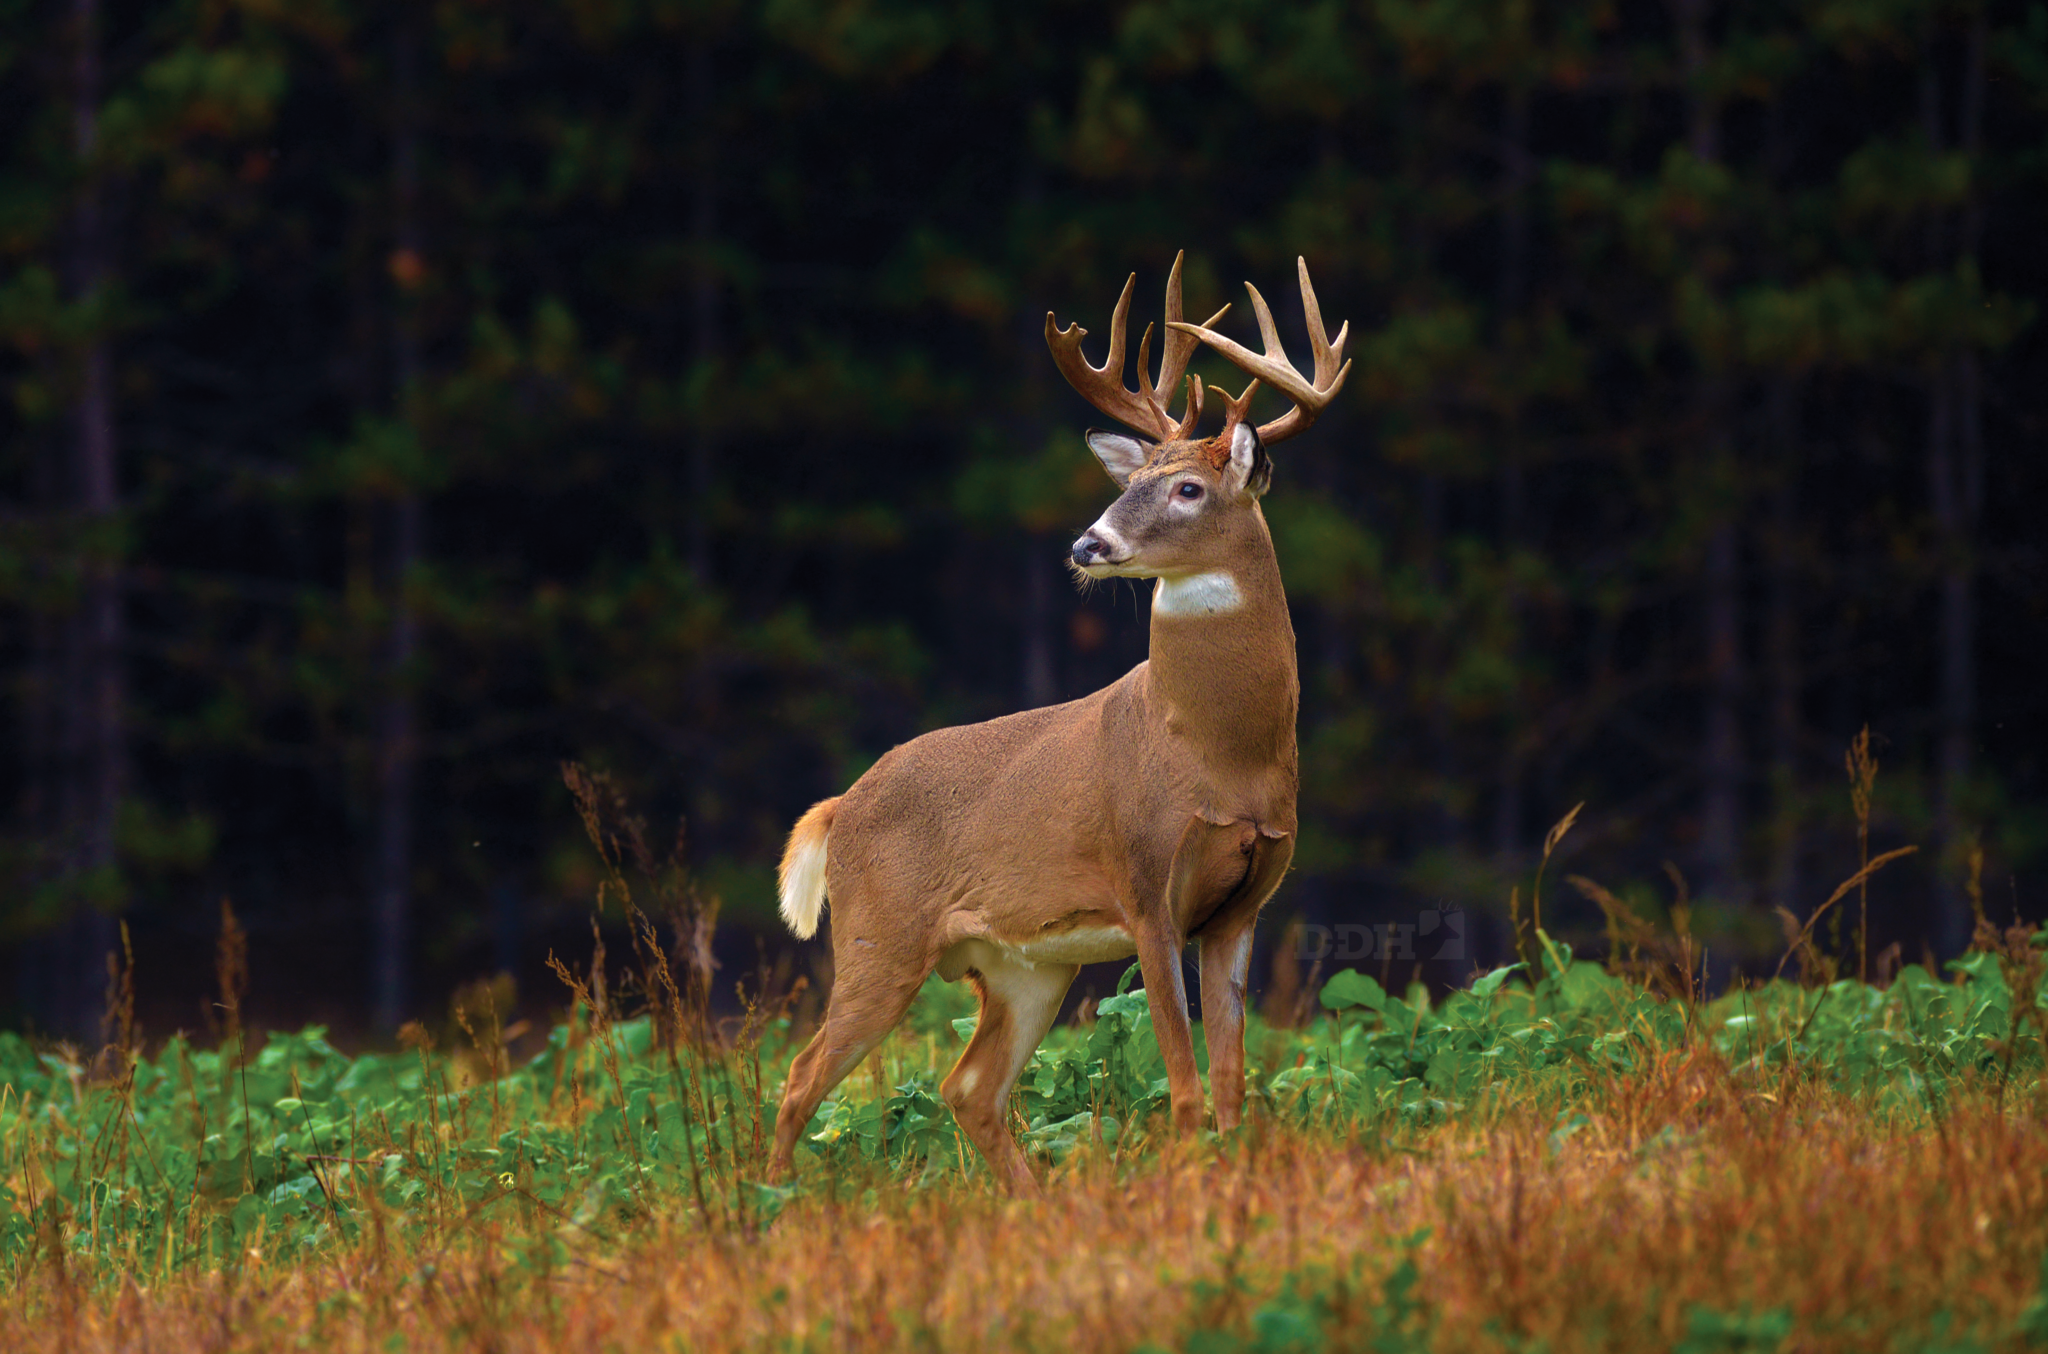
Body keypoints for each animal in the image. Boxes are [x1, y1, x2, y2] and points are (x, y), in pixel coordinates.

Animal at [767, 253, 1349, 1194]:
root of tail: (837, 807)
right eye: (1130, 483)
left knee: (968, 1087)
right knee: (800, 1076)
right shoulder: (1146, 882)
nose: (1087, 545)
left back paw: (1030, 1205)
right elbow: (1185, 1081)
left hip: (1025, 965)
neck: (1218, 753)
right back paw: (772, 1202)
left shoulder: (1245, 903)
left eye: (1188, 487)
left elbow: (1233, 1085)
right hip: (875, 934)